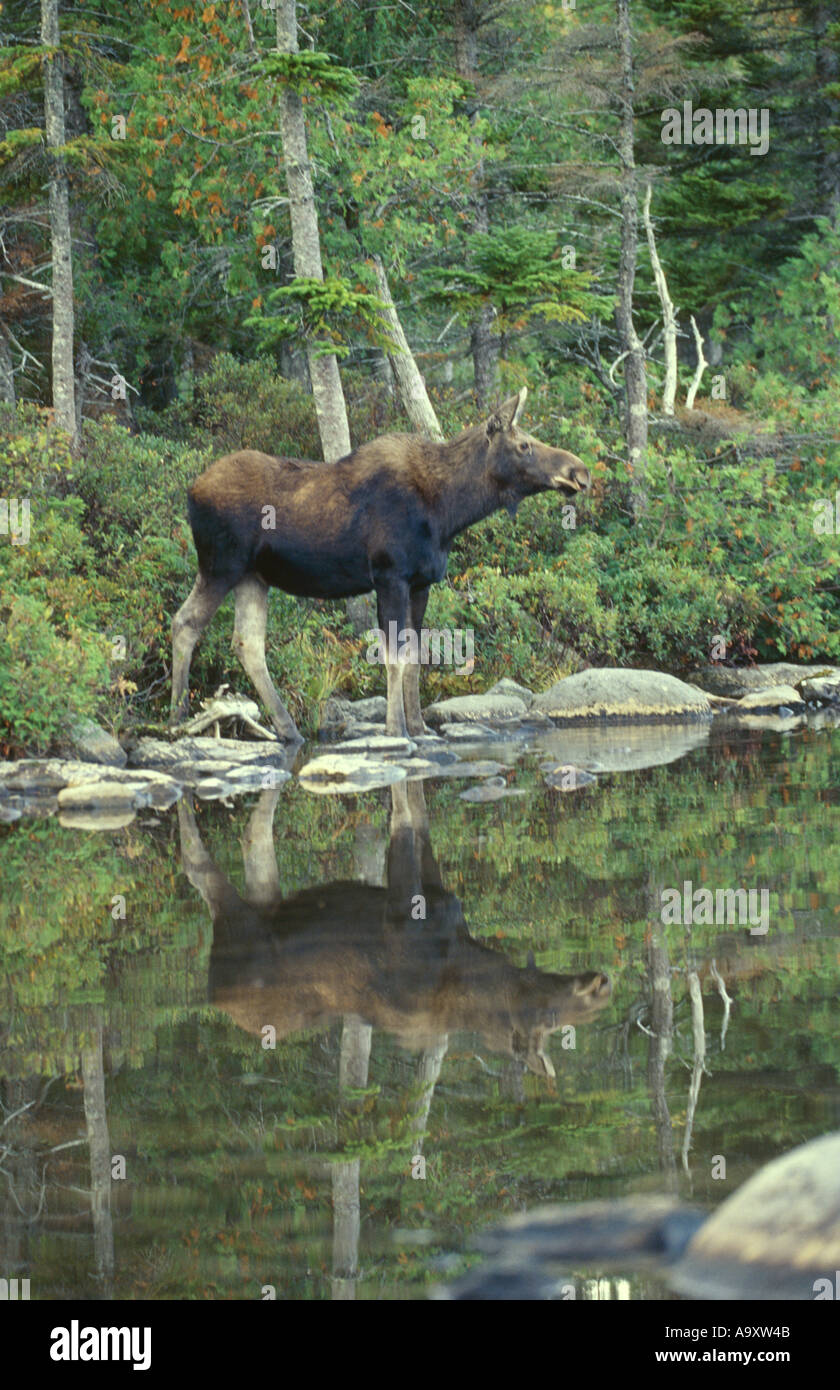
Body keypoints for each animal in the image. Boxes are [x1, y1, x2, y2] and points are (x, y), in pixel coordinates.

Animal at [170, 386, 590, 742]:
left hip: (253, 575)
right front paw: (396, 728)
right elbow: (394, 657)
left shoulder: (421, 582)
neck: (449, 511)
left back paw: (288, 729)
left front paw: (419, 726)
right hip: (221, 564)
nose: (580, 471)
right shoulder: (390, 575)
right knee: (185, 621)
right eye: (524, 445)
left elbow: (417, 658)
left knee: (247, 642)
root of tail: (190, 490)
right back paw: (178, 718)